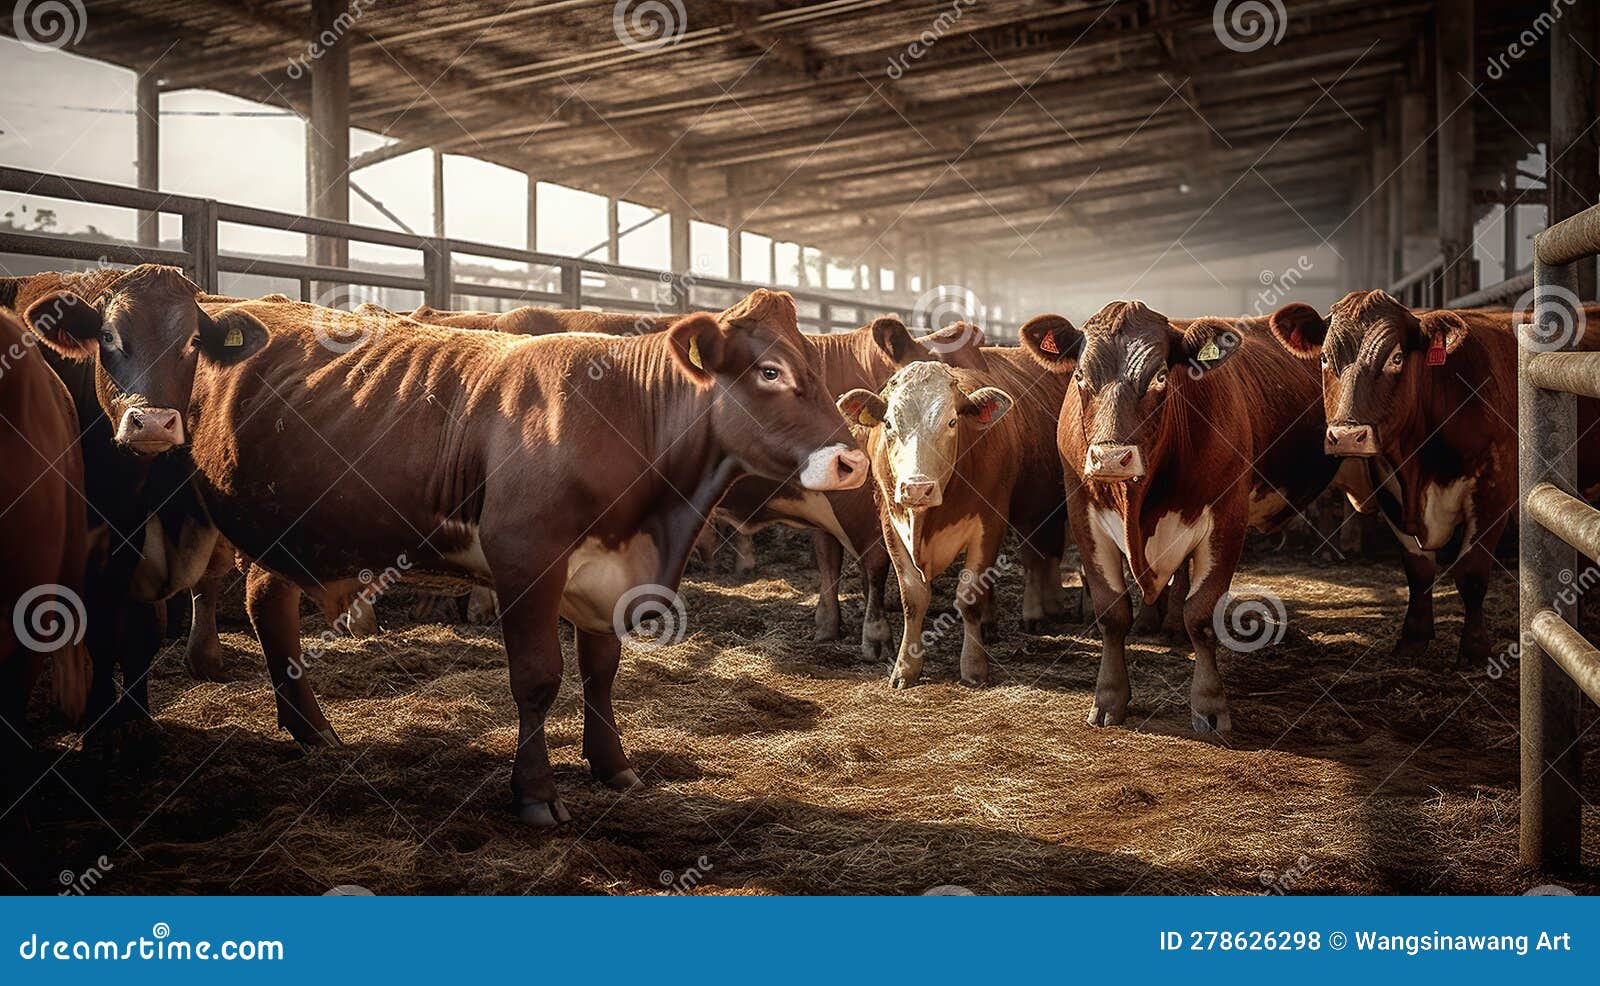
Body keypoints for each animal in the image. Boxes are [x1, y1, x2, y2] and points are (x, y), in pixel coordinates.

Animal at [20, 276, 866, 826]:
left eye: (816, 367)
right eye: (770, 370)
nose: (853, 460)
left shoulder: (608, 574)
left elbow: (601, 673)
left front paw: (613, 765)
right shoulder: (527, 559)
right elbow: (538, 680)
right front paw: (535, 795)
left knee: (264, 605)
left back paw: (312, 730)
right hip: (127, 514)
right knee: (123, 620)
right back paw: (121, 738)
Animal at [836, 333, 1073, 687]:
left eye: (951, 422)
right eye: (889, 423)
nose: (917, 487)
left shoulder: (990, 523)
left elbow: (969, 595)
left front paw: (973, 667)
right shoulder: (891, 523)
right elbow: (913, 598)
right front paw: (905, 667)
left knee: (1035, 557)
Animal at [1267, 290, 1600, 666]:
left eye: (1396, 358)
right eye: (1324, 358)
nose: (1348, 436)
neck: (1419, 467)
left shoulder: (1493, 493)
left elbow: (1471, 572)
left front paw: (1474, 650)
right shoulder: (1391, 491)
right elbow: (1418, 570)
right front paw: (1412, 639)